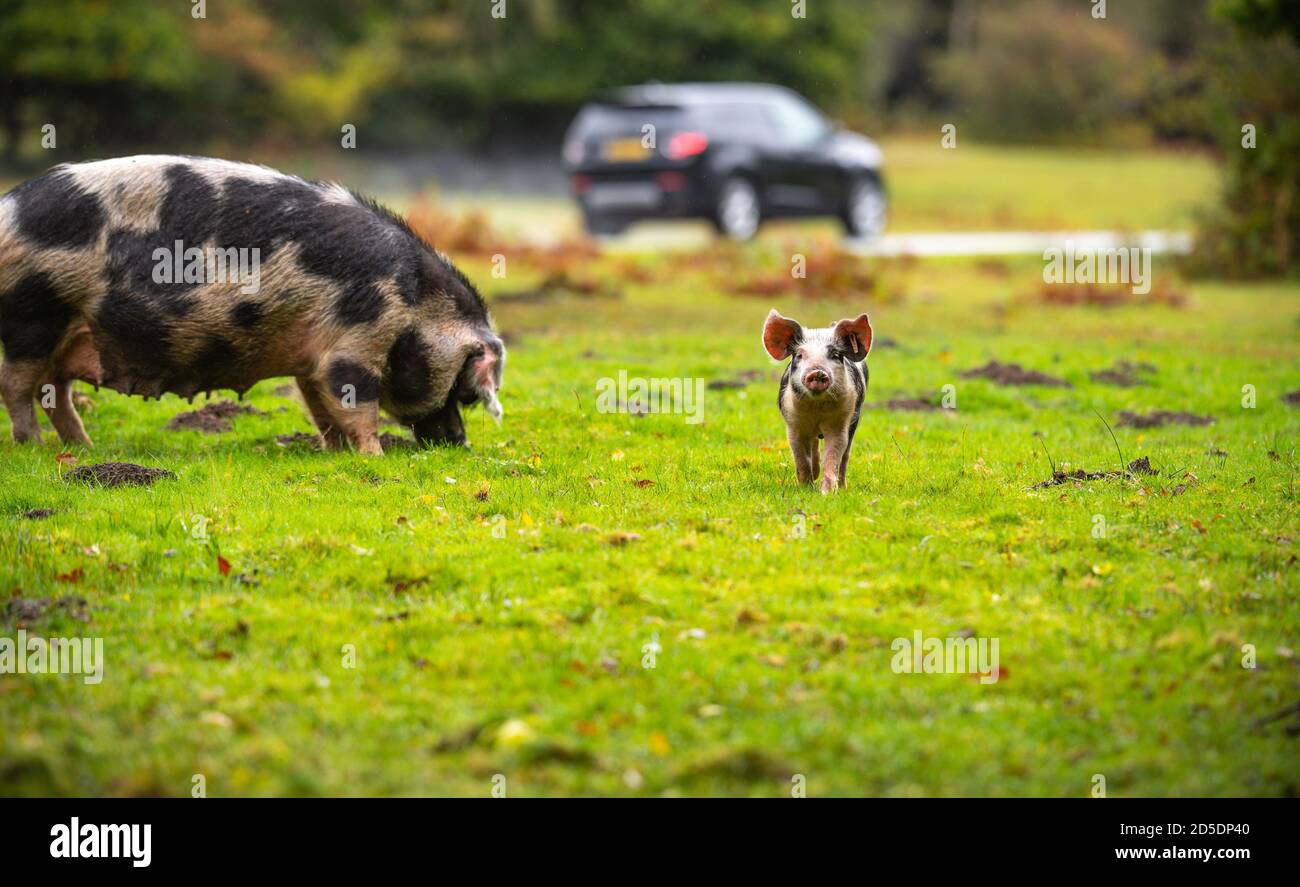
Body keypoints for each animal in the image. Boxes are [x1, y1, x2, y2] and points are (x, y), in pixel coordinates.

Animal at [0, 156, 504, 454]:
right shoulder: (355, 342)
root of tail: (7, 207)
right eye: (462, 390)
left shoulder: (312, 360)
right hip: (31, 315)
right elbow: (356, 402)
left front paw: (336, 453)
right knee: (18, 388)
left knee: (55, 393)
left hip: (65, 330)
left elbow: (322, 406)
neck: (414, 305)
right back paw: (33, 447)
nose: (460, 442)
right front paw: (375, 457)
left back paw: (82, 448)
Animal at [762, 309, 872, 493]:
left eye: (835, 355)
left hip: (854, 421)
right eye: (799, 355)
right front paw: (806, 488)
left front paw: (827, 492)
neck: (816, 409)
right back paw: (815, 473)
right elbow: (801, 459)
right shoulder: (793, 424)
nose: (818, 372)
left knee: (845, 456)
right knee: (813, 446)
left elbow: (833, 456)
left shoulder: (840, 422)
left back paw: (842, 487)